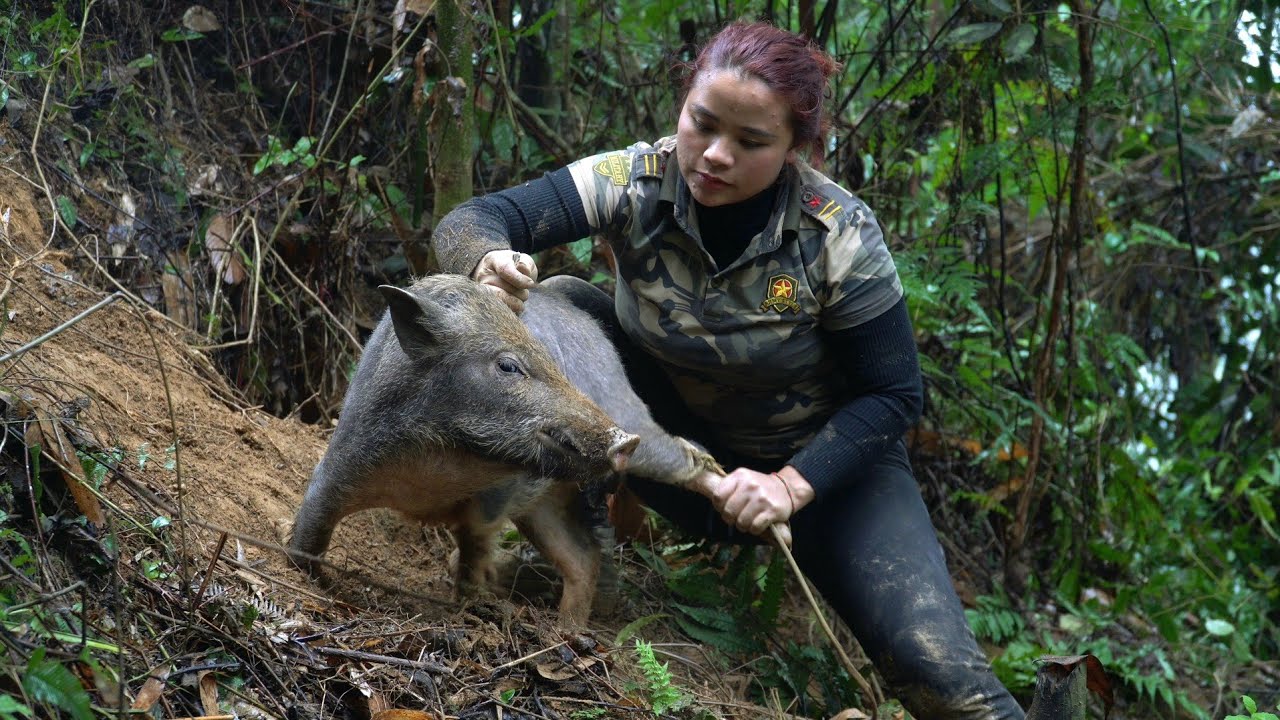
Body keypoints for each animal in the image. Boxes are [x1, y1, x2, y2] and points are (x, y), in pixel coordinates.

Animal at [289, 273, 718, 626]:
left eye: (548, 361)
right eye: (508, 366)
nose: (620, 441)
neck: (430, 475)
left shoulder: (493, 501)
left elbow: (475, 548)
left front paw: (468, 605)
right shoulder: (342, 463)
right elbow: (311, 531)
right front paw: (306, 575)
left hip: (623, 406)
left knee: (669, 455)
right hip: (544, 504)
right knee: (583, 559)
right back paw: (566, 634)